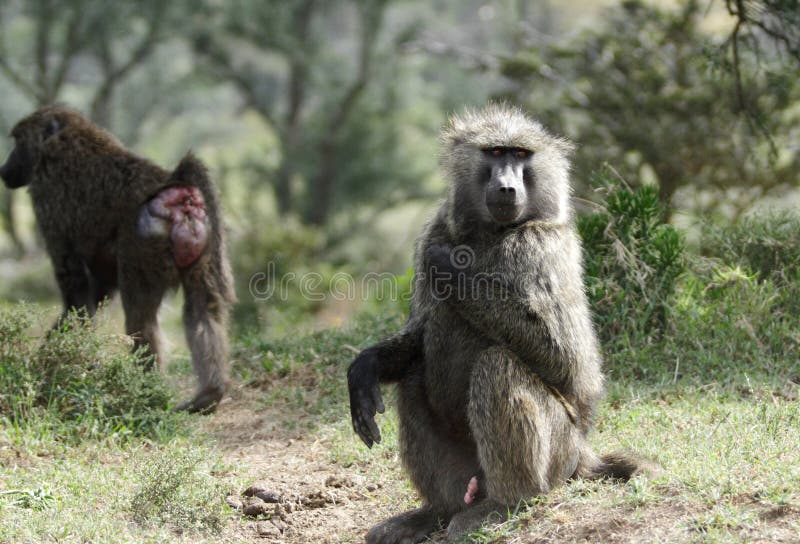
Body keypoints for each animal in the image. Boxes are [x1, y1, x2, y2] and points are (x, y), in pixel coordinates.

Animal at [0, 106, 235, 414]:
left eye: (17, 141)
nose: (3, 170)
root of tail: (173, 190)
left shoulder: (46, 196)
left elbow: (75, 291)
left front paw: (50, 369)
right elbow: (96, 292)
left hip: (141, 250)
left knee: (141, 323)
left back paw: (143, 394)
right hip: (203, 243)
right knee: (203, 309)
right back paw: (208, 396)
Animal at [347, 104, 654, 542]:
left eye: (521, 155)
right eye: (494, 153)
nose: (507, 187)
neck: (492, 232)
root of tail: (582, 452)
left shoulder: (539, 247)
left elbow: (565, 359)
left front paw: (452, 270)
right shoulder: (432, 233)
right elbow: (419, 334)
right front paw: (365, 368)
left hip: (559, 451)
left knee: (497, 366)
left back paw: (507, 504)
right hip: (468, 469)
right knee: (414, 377)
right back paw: (434, 512)